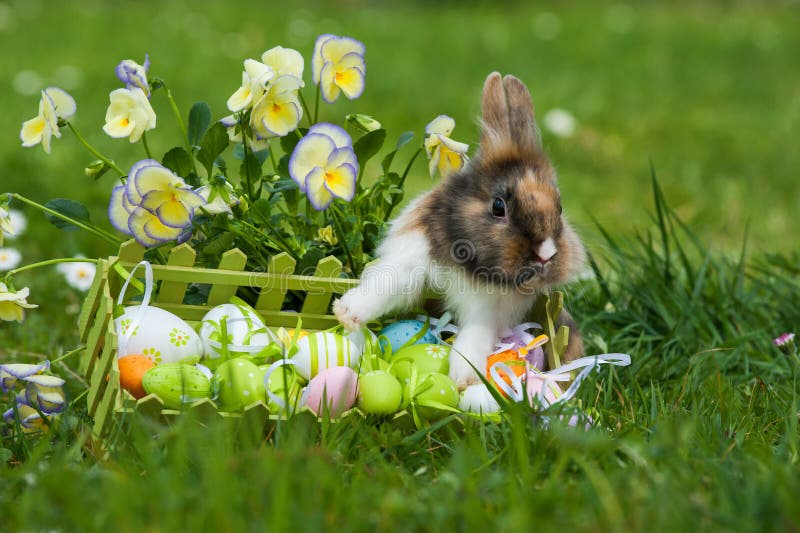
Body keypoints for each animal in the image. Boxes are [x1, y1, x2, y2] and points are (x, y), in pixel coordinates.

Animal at [334, 72, 586, 390]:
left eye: (560, 208)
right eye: (498, 206)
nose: (546, 255)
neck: (468, 264)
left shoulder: (488, 308)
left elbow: (474, 335)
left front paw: (465, 378)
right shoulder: (411, 261)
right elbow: (385, 288)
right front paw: (346, 314)